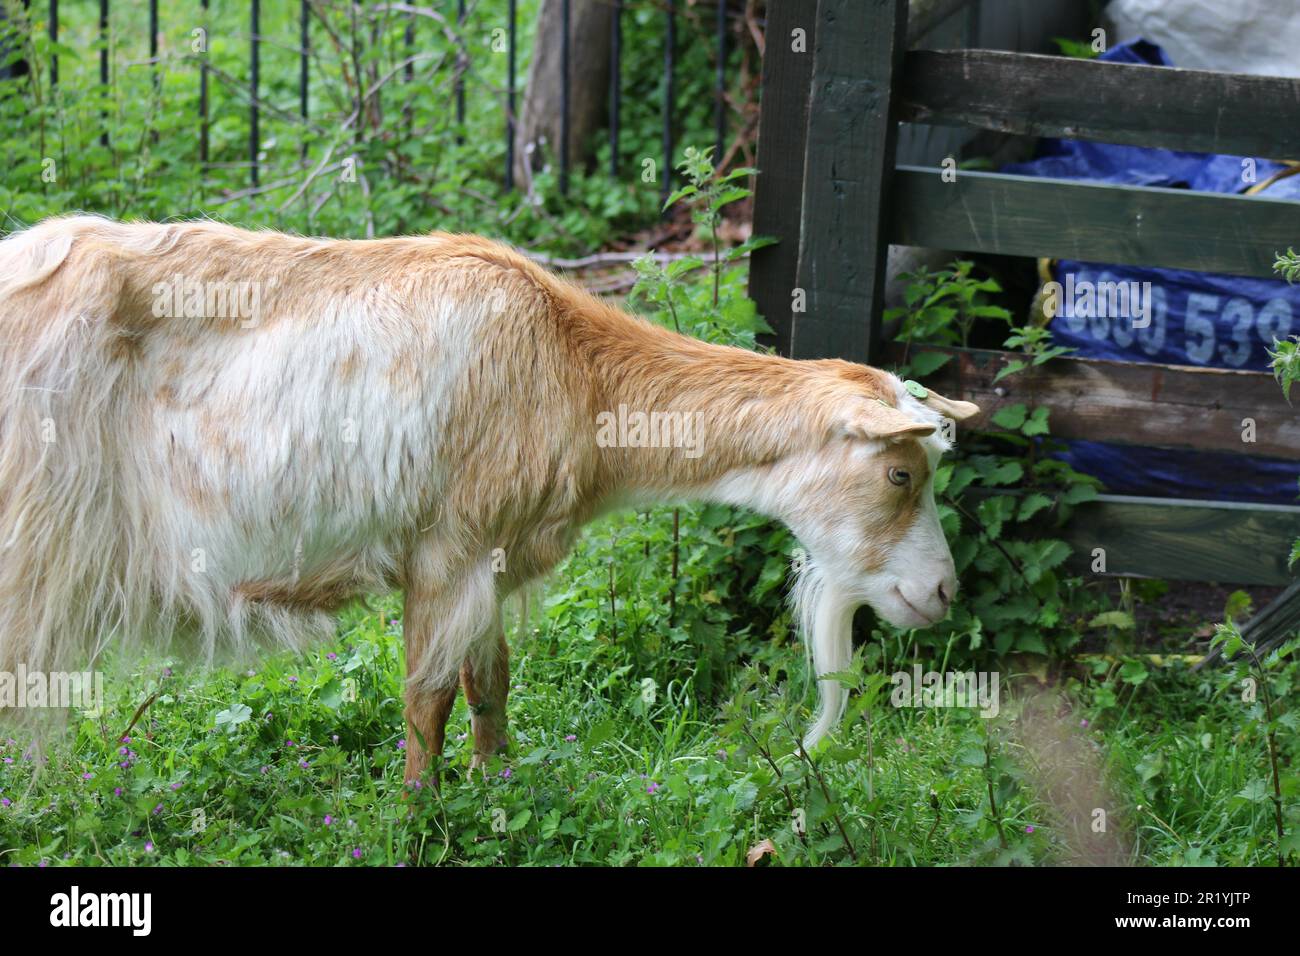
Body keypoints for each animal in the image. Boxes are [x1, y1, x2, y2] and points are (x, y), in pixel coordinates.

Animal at [0, 215, 978, 781]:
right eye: (901, 473)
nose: (942, 591)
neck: (576, 370)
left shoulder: (495, 556)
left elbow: (490, 683)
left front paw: (498, 786)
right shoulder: (449, 545)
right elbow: (425, 699)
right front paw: (419, 816)